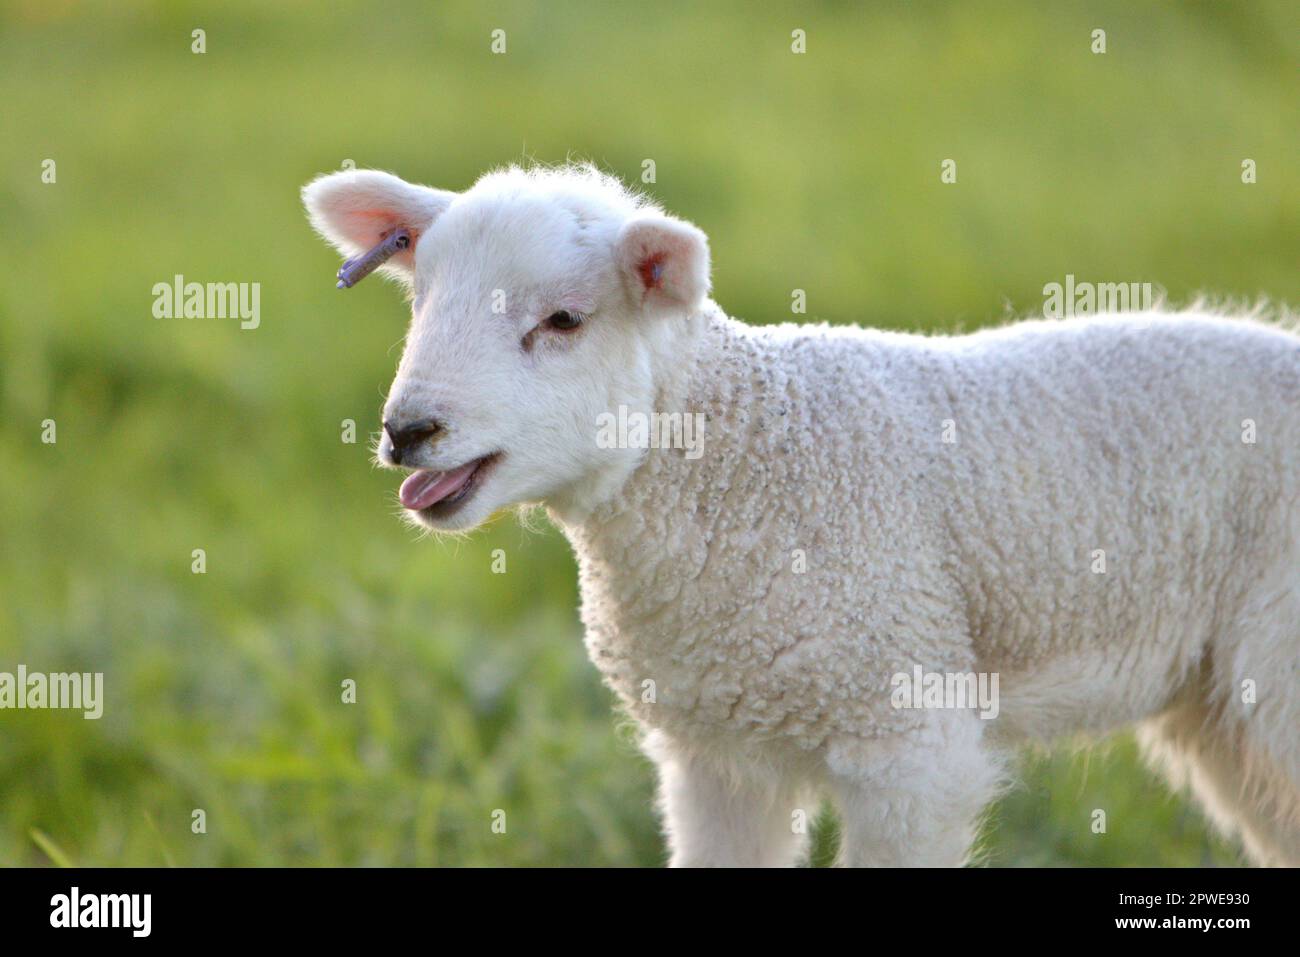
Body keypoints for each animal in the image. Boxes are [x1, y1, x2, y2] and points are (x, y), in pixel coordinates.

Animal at [302, 164, 1300, 867]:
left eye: (563, 321)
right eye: (421, 297)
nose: (408, 430)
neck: (742, 462)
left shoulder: (910, 734)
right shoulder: (716, 753)